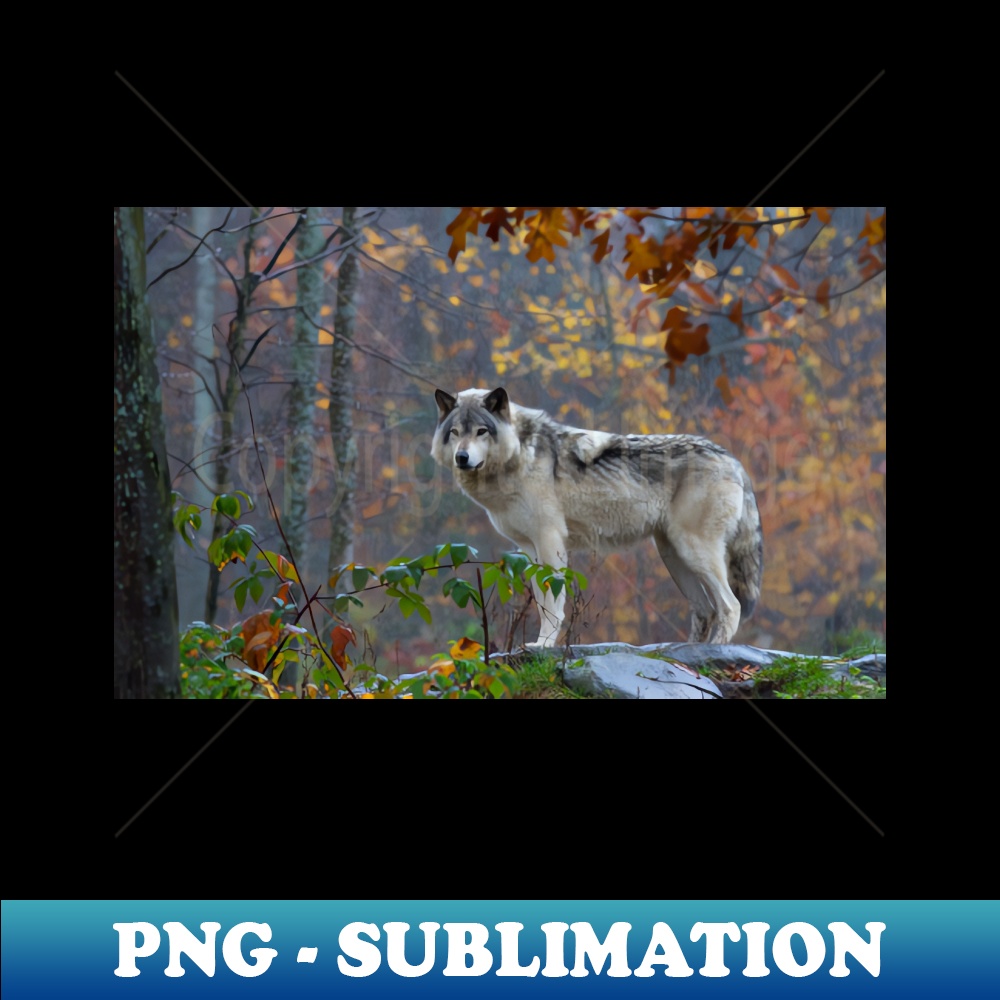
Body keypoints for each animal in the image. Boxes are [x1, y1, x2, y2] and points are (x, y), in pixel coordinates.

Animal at [432, 387, 763, 647]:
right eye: (455, 433)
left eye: (481, 431)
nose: (462, 458)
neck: (519, 456)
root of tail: (733, 459)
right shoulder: (528, 547)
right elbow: (540, 601)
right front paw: (541, 643)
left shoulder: (550, 540)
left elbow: (553, 604)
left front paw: (544, 645)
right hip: (674, 557)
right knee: (706, 610)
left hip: (694, 552)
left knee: (730, 606)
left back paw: (715, 650)